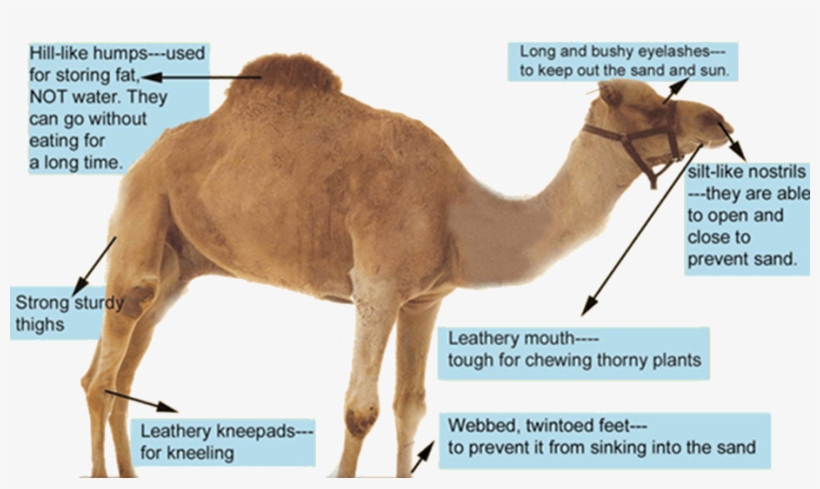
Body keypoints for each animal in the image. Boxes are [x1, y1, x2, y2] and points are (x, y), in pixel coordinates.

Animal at [80, 53, 733, 478]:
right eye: (645, 104)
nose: (720, 122)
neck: (456, 210)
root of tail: (145, 155)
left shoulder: (424, 299)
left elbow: (408, 407)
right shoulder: (376, 286)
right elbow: (359, 411)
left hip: (178, 264)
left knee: (125, 368)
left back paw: (131, 476)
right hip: (142, 217)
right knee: (102, 367)